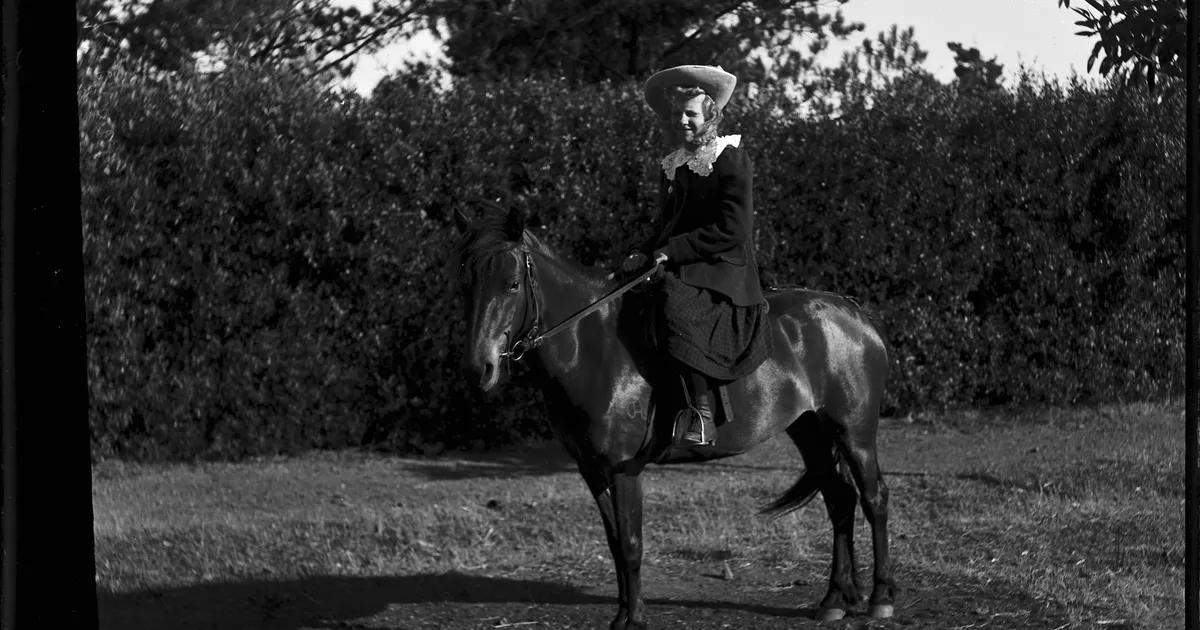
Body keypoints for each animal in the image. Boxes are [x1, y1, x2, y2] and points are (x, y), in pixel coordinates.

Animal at [451, 206, 895, 629]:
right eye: (466, 284)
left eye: (512, 284)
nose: (479, 370)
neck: (592, 348)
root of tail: (853, 313)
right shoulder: (592, 470)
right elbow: (615, 543)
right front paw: (621, 616)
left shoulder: (623, 469)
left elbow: (631, 544)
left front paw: (635, 619)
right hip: (810, 430)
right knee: (840, 499)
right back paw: (835, 600)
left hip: (854, 431)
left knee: (874, 498)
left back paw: (880, 598)